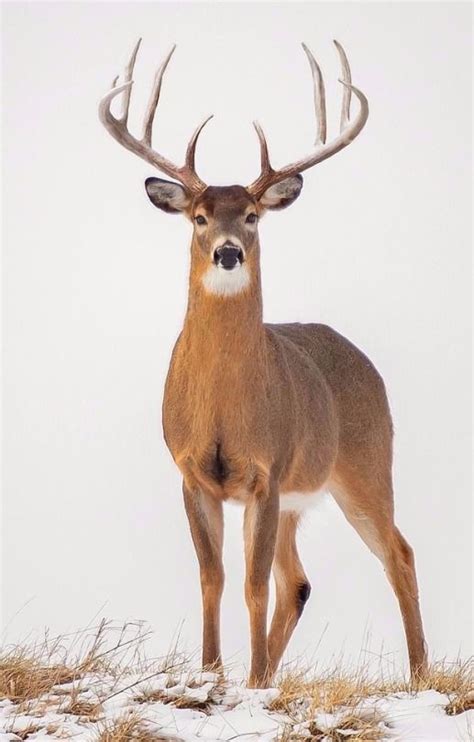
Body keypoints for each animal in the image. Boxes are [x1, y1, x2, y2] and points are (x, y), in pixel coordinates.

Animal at [99, 38, 428, 689]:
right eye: (199, 216)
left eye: (252, 215)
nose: (228, 252)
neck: (225, 405)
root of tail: (367, 365)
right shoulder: (191, 472)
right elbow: (213, 578)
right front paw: (211, 672)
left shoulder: (266, 470)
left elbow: (249, 585)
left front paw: (246, 682)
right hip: (303, 498)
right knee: (297, 582)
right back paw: (272, 672)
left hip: (365, 465)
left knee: (397, 553)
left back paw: (419, 674)